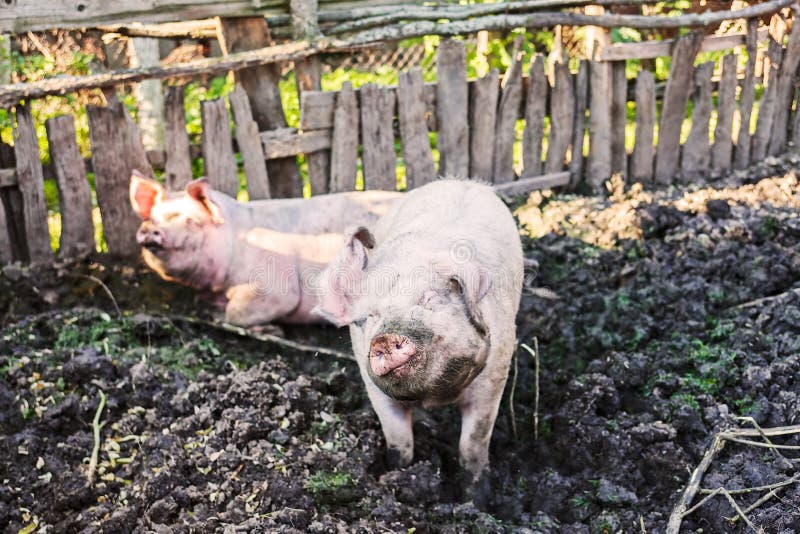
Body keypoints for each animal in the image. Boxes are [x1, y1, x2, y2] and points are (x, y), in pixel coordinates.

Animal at [129, 171, 401, 326]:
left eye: (192, 221)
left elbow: (235, 311)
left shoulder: (276, 288)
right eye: (153, 217)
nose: (151, 229)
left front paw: (272, 330)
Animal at [313, 179, 524, 502]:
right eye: (369, 316)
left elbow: (473, 445)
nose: (385, 339)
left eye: (429, 299)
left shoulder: (495, 375)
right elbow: (398, 439)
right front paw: (396, 476)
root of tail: (460, 181)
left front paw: (475, 499)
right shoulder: (372, 385)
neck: (434, 396)